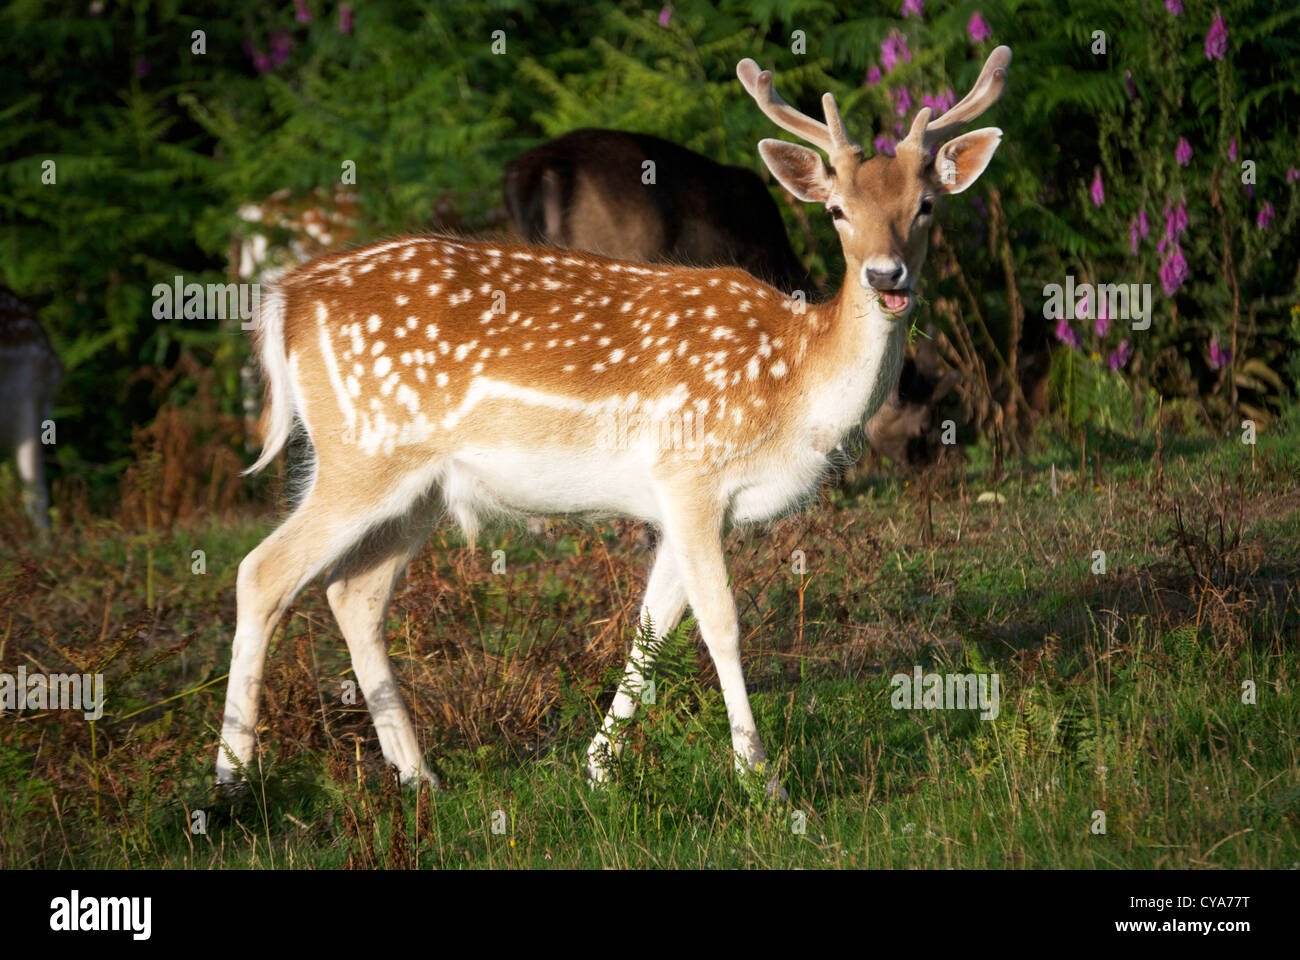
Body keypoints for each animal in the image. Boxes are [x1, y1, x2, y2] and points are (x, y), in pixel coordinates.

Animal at [215, 46, 1011, 797]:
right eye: (837, 210)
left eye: (927, 205)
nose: (886, 277)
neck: (794, 386)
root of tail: (284, 301)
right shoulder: (690, 474)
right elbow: (720, 624)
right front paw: (763, 780)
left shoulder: (685, 502)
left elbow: (654, 625)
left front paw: (597, 769)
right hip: (361, 451)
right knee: (262, 572)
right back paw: (230, 781)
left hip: (421, 485)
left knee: (354, 593)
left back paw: (420, 777)